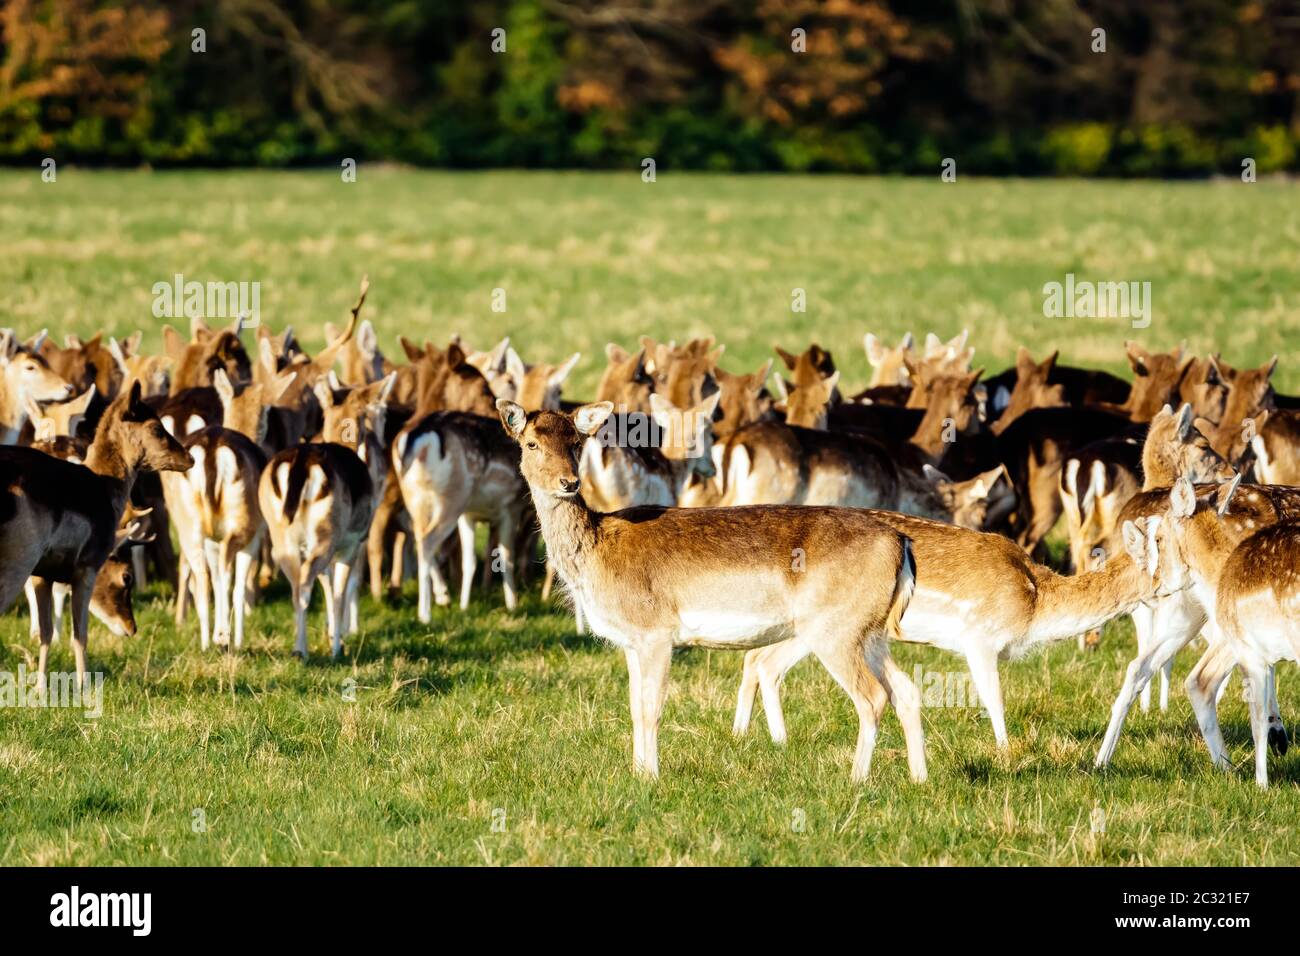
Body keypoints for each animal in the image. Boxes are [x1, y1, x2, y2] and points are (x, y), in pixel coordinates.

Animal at [1, 382, 191, 690]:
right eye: (157, 427)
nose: (189, 457)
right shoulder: (87, 566)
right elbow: (79, 634)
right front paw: (84, 687)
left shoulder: (42, 575)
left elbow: (46, 633)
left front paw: (40, 688)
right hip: (17, 557)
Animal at [497, 398, 926, 782]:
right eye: (531, 443)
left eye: (576, 442)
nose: (568, 482)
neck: (597, 557)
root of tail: (901, 544)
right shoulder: (631, 641)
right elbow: (634, 706)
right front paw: (636, 773)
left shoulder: (655, 631)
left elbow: (652, 707)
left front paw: (652, 777)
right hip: (869, 631)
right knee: (905, 689)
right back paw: (918, 777)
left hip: (835, 628)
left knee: (872, 697)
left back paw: (856, 780)